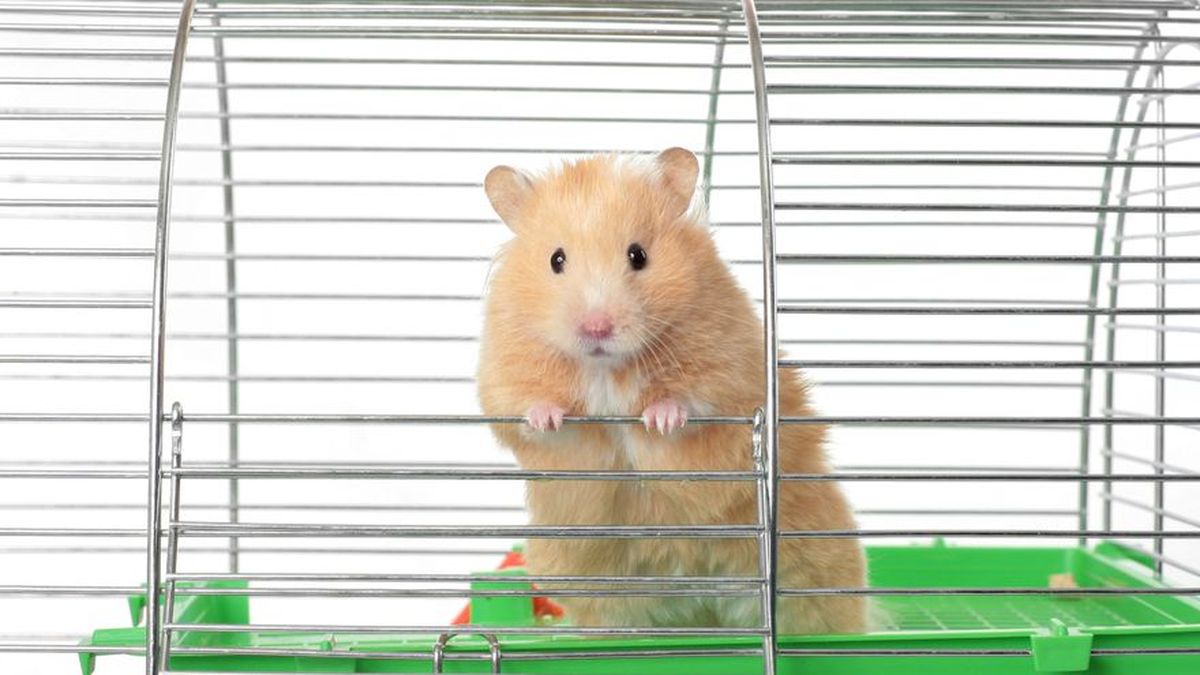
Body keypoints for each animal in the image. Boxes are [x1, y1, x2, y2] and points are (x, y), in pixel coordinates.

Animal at [477, 147, 867, 634]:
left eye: (638, 255)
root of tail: (699, 604)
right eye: (556, 260)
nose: (596, 328)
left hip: (814, 566)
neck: (607, 367)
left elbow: (693, 402)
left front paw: (659, 418)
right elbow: (527, 415)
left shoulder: (727, 369)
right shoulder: (504, 377)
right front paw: (547, 415)